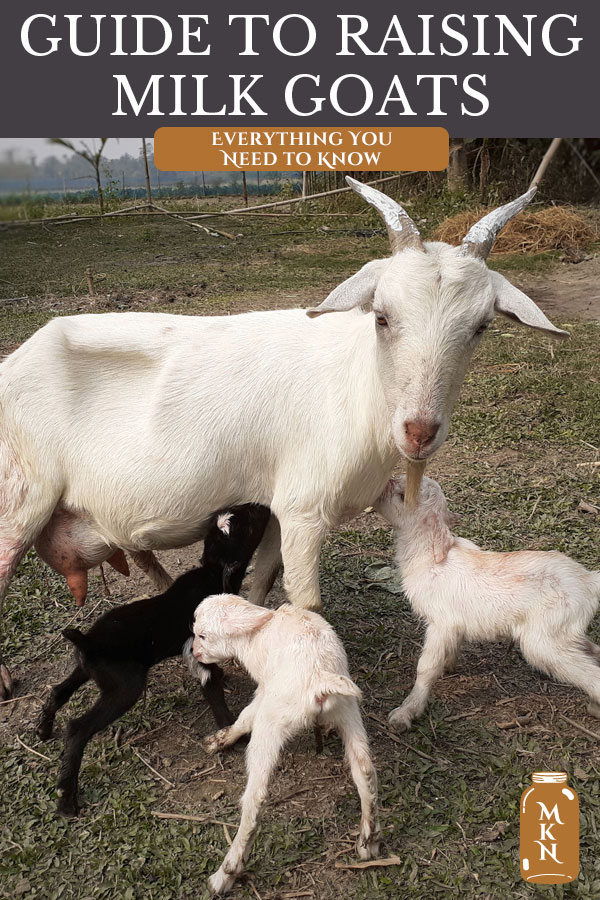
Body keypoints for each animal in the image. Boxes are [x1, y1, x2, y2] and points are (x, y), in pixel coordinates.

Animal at [0, 177, 567, 699]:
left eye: (481, 327)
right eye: (382, 316)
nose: (420, 432)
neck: (357, 385)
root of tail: (16, 360)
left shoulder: (276, 504)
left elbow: (262, 583)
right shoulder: (304, 508)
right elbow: (307, 603)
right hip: (20, 498)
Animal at [36, 504, 270, 818]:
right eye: (248, 525)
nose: (264, 508)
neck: (210, 573)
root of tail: (86, 641)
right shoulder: (195, 644)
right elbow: (210, 684)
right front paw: (231, 731)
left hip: (87, 669)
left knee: (58, 690)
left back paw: (43, 729)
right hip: (124, 687)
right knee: (78, 728)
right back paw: (66, 800)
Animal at [192, 593, 380, 895]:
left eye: (202, 635)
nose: (196, 653)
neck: (256, 633)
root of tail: (320, 680)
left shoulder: (265, 690)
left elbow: (246, 717)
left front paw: (222, 739)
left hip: (273, 721)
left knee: (256, 797)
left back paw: (226, 873)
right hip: (348, 710)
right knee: (364, 770)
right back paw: (369, 840)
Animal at [375, 476, 600, 731]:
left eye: (402, 495)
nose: (384, 484)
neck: (428, 555)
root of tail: (589, 580)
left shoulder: (441, 623)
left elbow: (426, 666)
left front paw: (406, 712)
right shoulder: (454, 626)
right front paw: (449, 664)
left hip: (544, 642)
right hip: (564, 631)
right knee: (592, 650)